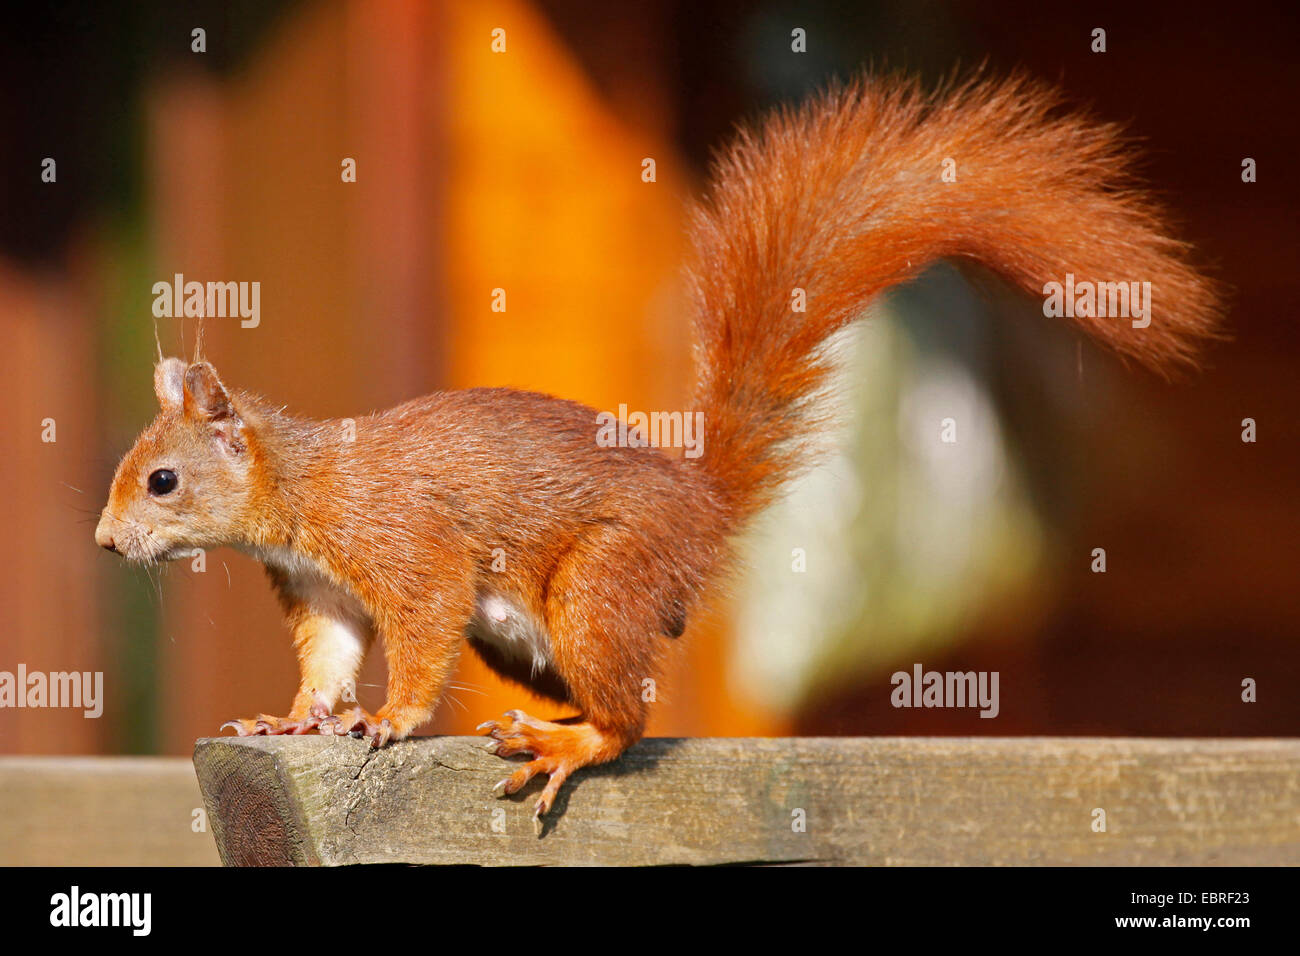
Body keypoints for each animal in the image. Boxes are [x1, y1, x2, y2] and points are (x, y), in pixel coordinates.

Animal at [95, 74, 1220, 823]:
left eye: (163, 479)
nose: (107, 545)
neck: (299, 489)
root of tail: (703, 504)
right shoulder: (320, 589)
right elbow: (328, 661)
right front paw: (298, 721)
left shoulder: (403, 547)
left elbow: (418, 632)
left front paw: (390, 719)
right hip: (533, 636)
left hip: (599, 584)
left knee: (628, 721)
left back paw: (568, 744)